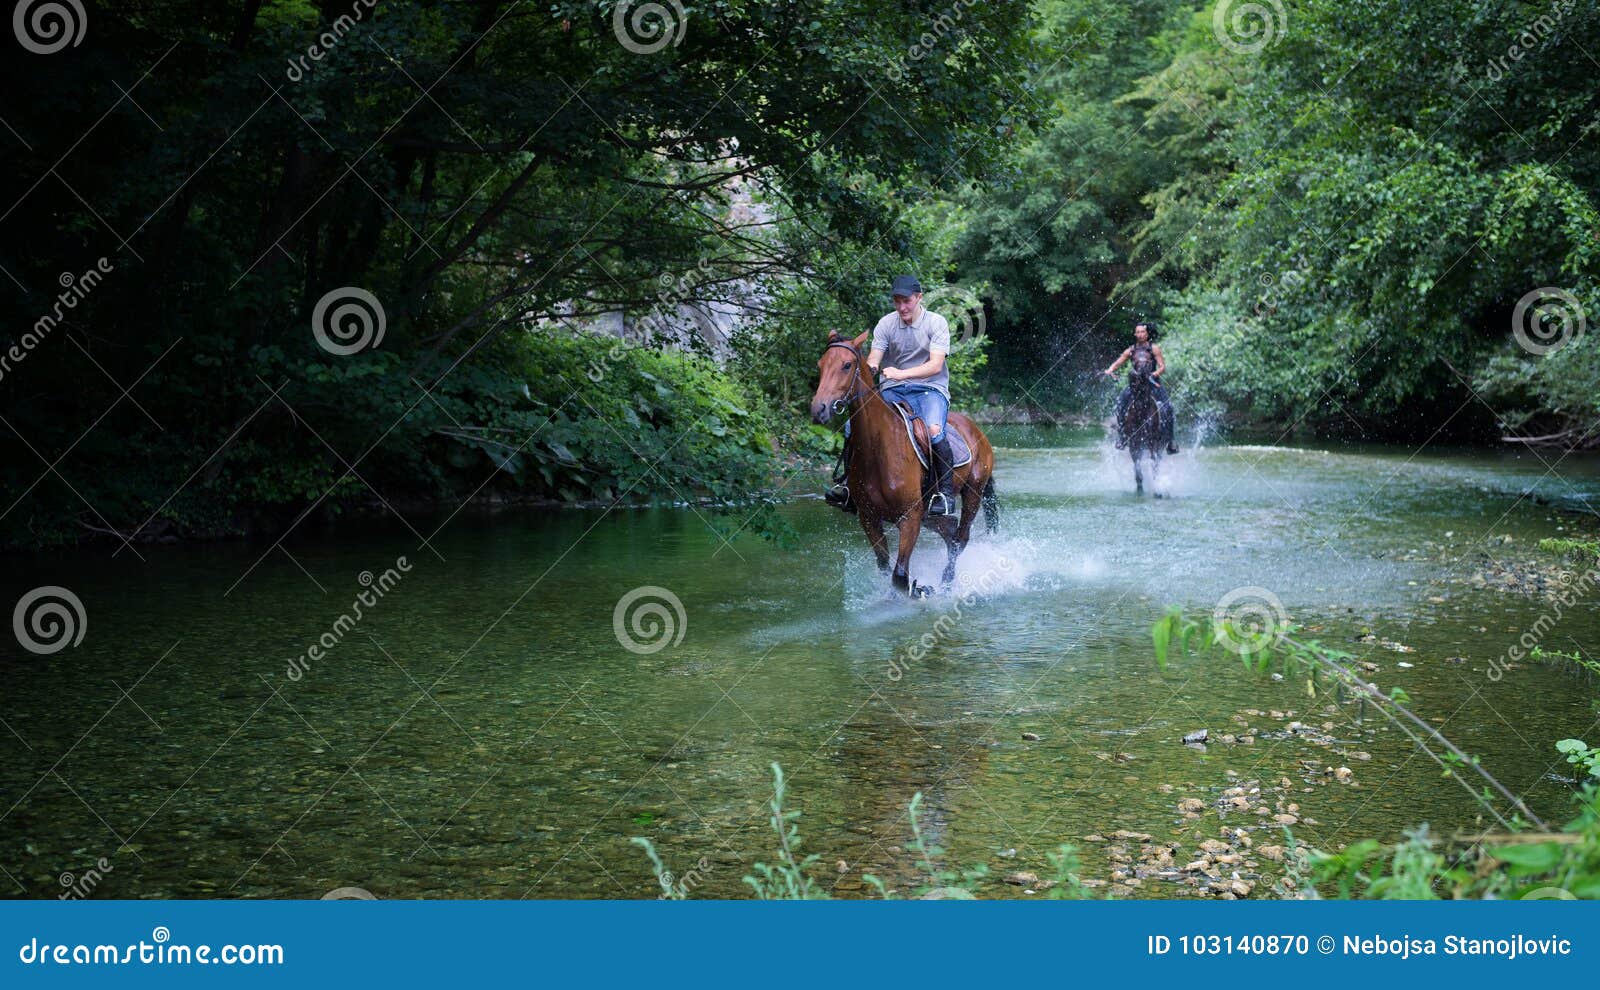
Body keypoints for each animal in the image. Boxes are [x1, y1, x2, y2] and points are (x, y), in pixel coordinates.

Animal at [809, 330, 998, 596]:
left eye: (846, 365)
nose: (819, 409)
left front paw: (920, 590)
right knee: (950, 533)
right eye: (820, 365)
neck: (879, 449)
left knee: (960, 538)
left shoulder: (910, 518)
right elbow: (885, 567)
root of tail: (976, 430)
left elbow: (899, 575)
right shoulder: (869, 518)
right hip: (929, 514)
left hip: (972, 495)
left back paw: (946, 584)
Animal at [1122, 347, 1164, 496]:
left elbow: (1154, 464)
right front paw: (1140, 487)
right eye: (1134, 359)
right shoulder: (1133, 443)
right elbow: (1137, 466)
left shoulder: (1153, 442)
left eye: (1149, 360)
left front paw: (1157, 488)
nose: (1142, 370)